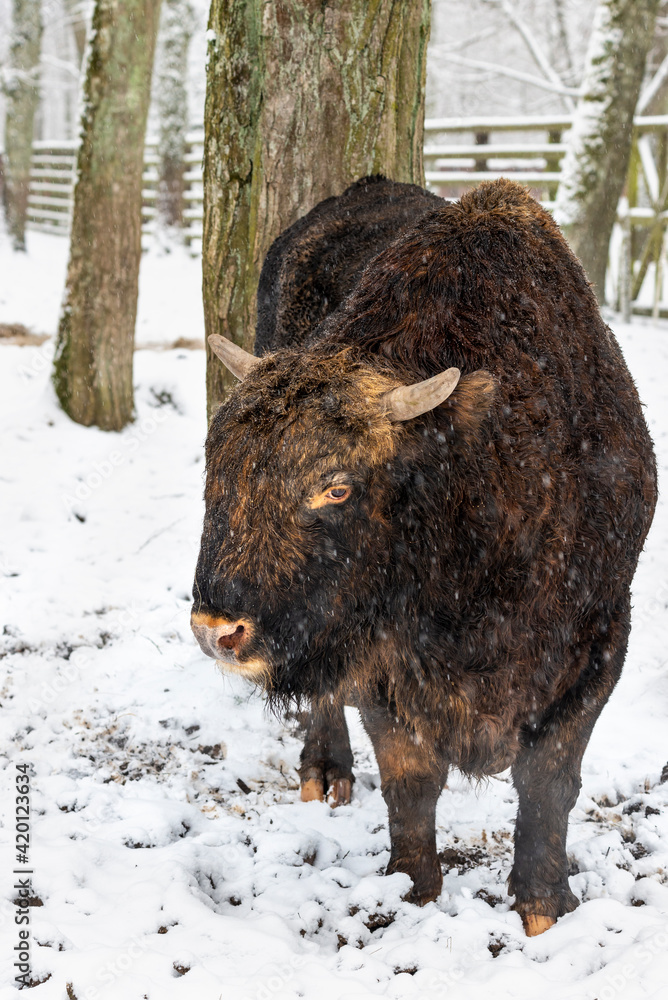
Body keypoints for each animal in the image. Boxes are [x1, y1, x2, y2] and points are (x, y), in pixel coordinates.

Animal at [192, 177, 657, 937]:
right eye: (218, 468)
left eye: (336, 485)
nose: (218, 631)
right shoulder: (384, 659)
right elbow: (411, 778)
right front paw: (411, 891)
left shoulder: (599, 636)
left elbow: (548, 778)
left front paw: (544, 906)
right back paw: (325, 773)